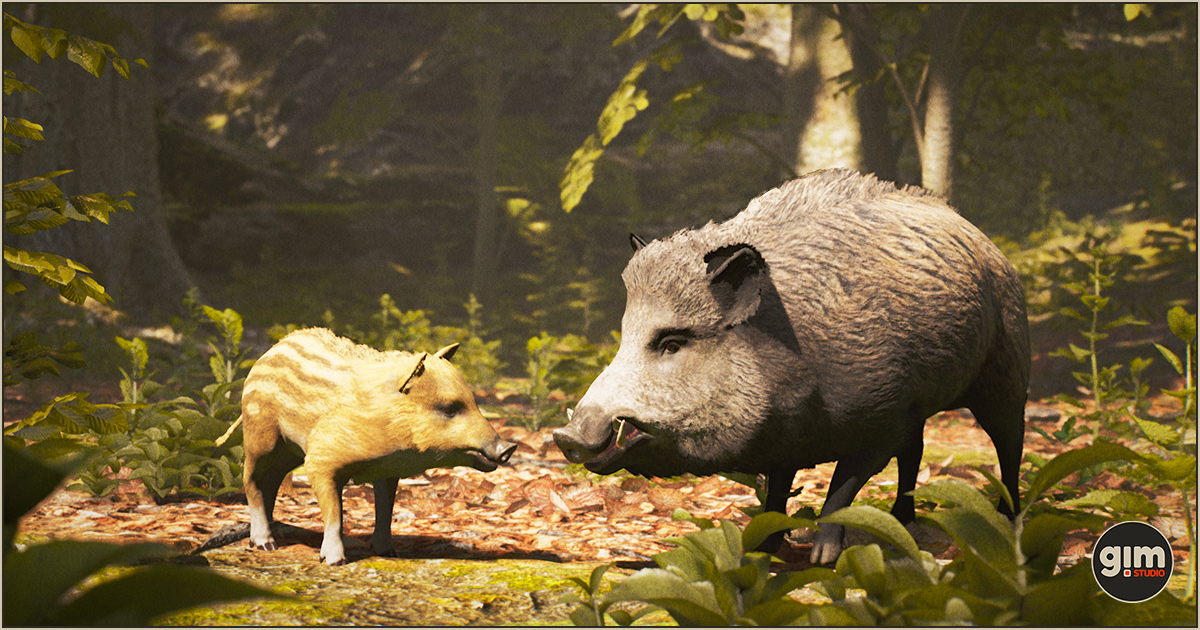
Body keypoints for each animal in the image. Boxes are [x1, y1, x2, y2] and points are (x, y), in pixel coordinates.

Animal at [236, 327, 517, 565]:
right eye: (449, 409)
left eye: (474, 402)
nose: (508, 447)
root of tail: (268, 352)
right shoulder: (320, 460)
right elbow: (335, 513)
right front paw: (336, 562)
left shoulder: (387, 471)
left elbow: (385, 510)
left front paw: (389, 553)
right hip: (261, 436)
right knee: (250, 479)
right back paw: (265, 545)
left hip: (289, 451)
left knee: (271, 481)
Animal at [553, 168, 1029, 564]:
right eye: (624, 335)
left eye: (671, 343)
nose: (567, 435)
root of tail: (980, 234)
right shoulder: (791, 435)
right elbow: (778, 489)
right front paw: (760, 549)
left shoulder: (885, 415)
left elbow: (842, 485)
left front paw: (822, 560)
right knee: (917, 450)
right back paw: (903, 522)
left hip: (1006, 368)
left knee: (1008, 441)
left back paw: (1008, 522)